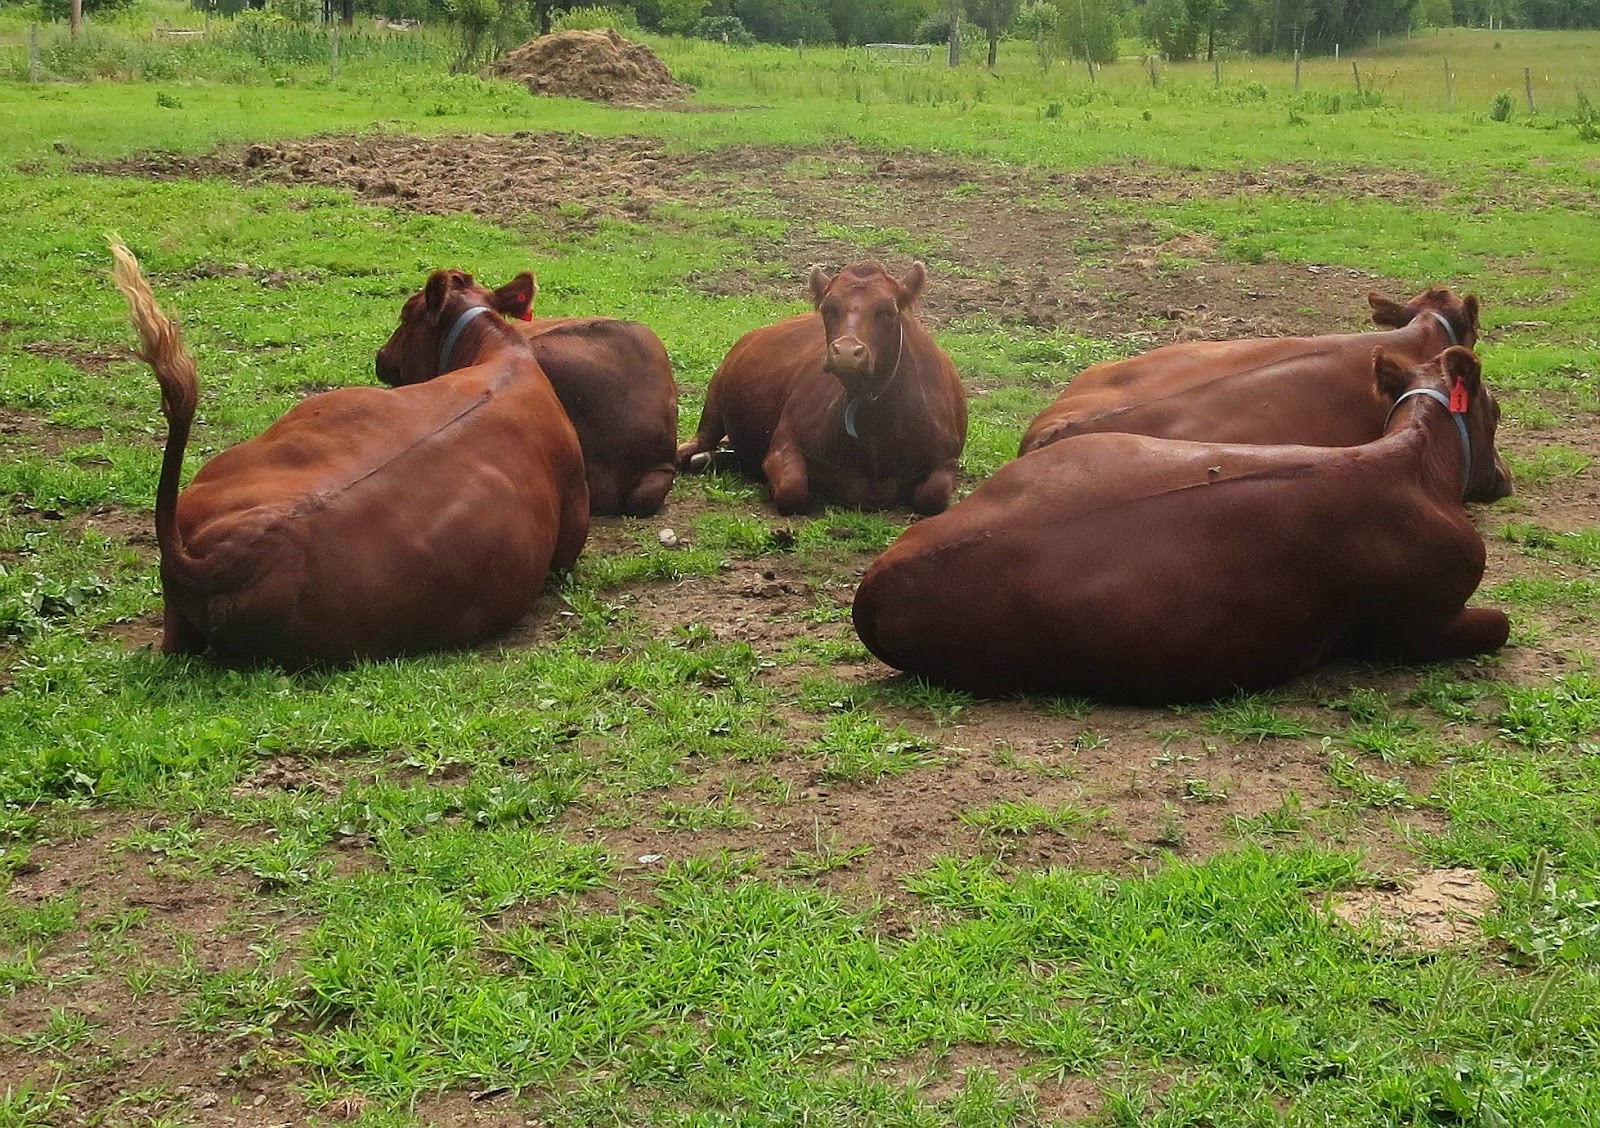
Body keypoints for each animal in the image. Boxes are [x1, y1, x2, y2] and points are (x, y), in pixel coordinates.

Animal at [675, 261, 968, 515]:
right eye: (828, 309)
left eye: (888, 311)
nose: (846, 352)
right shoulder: (784, 443)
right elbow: (793, 489)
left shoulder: (947, 460)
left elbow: (932, 496)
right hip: (715, 396)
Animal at [853, 346, 1510, 704]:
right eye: (1497, 409)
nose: (1503, 476)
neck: (1413, 465)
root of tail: (881, 576)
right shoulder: (1422, 623)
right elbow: (1500, 624)